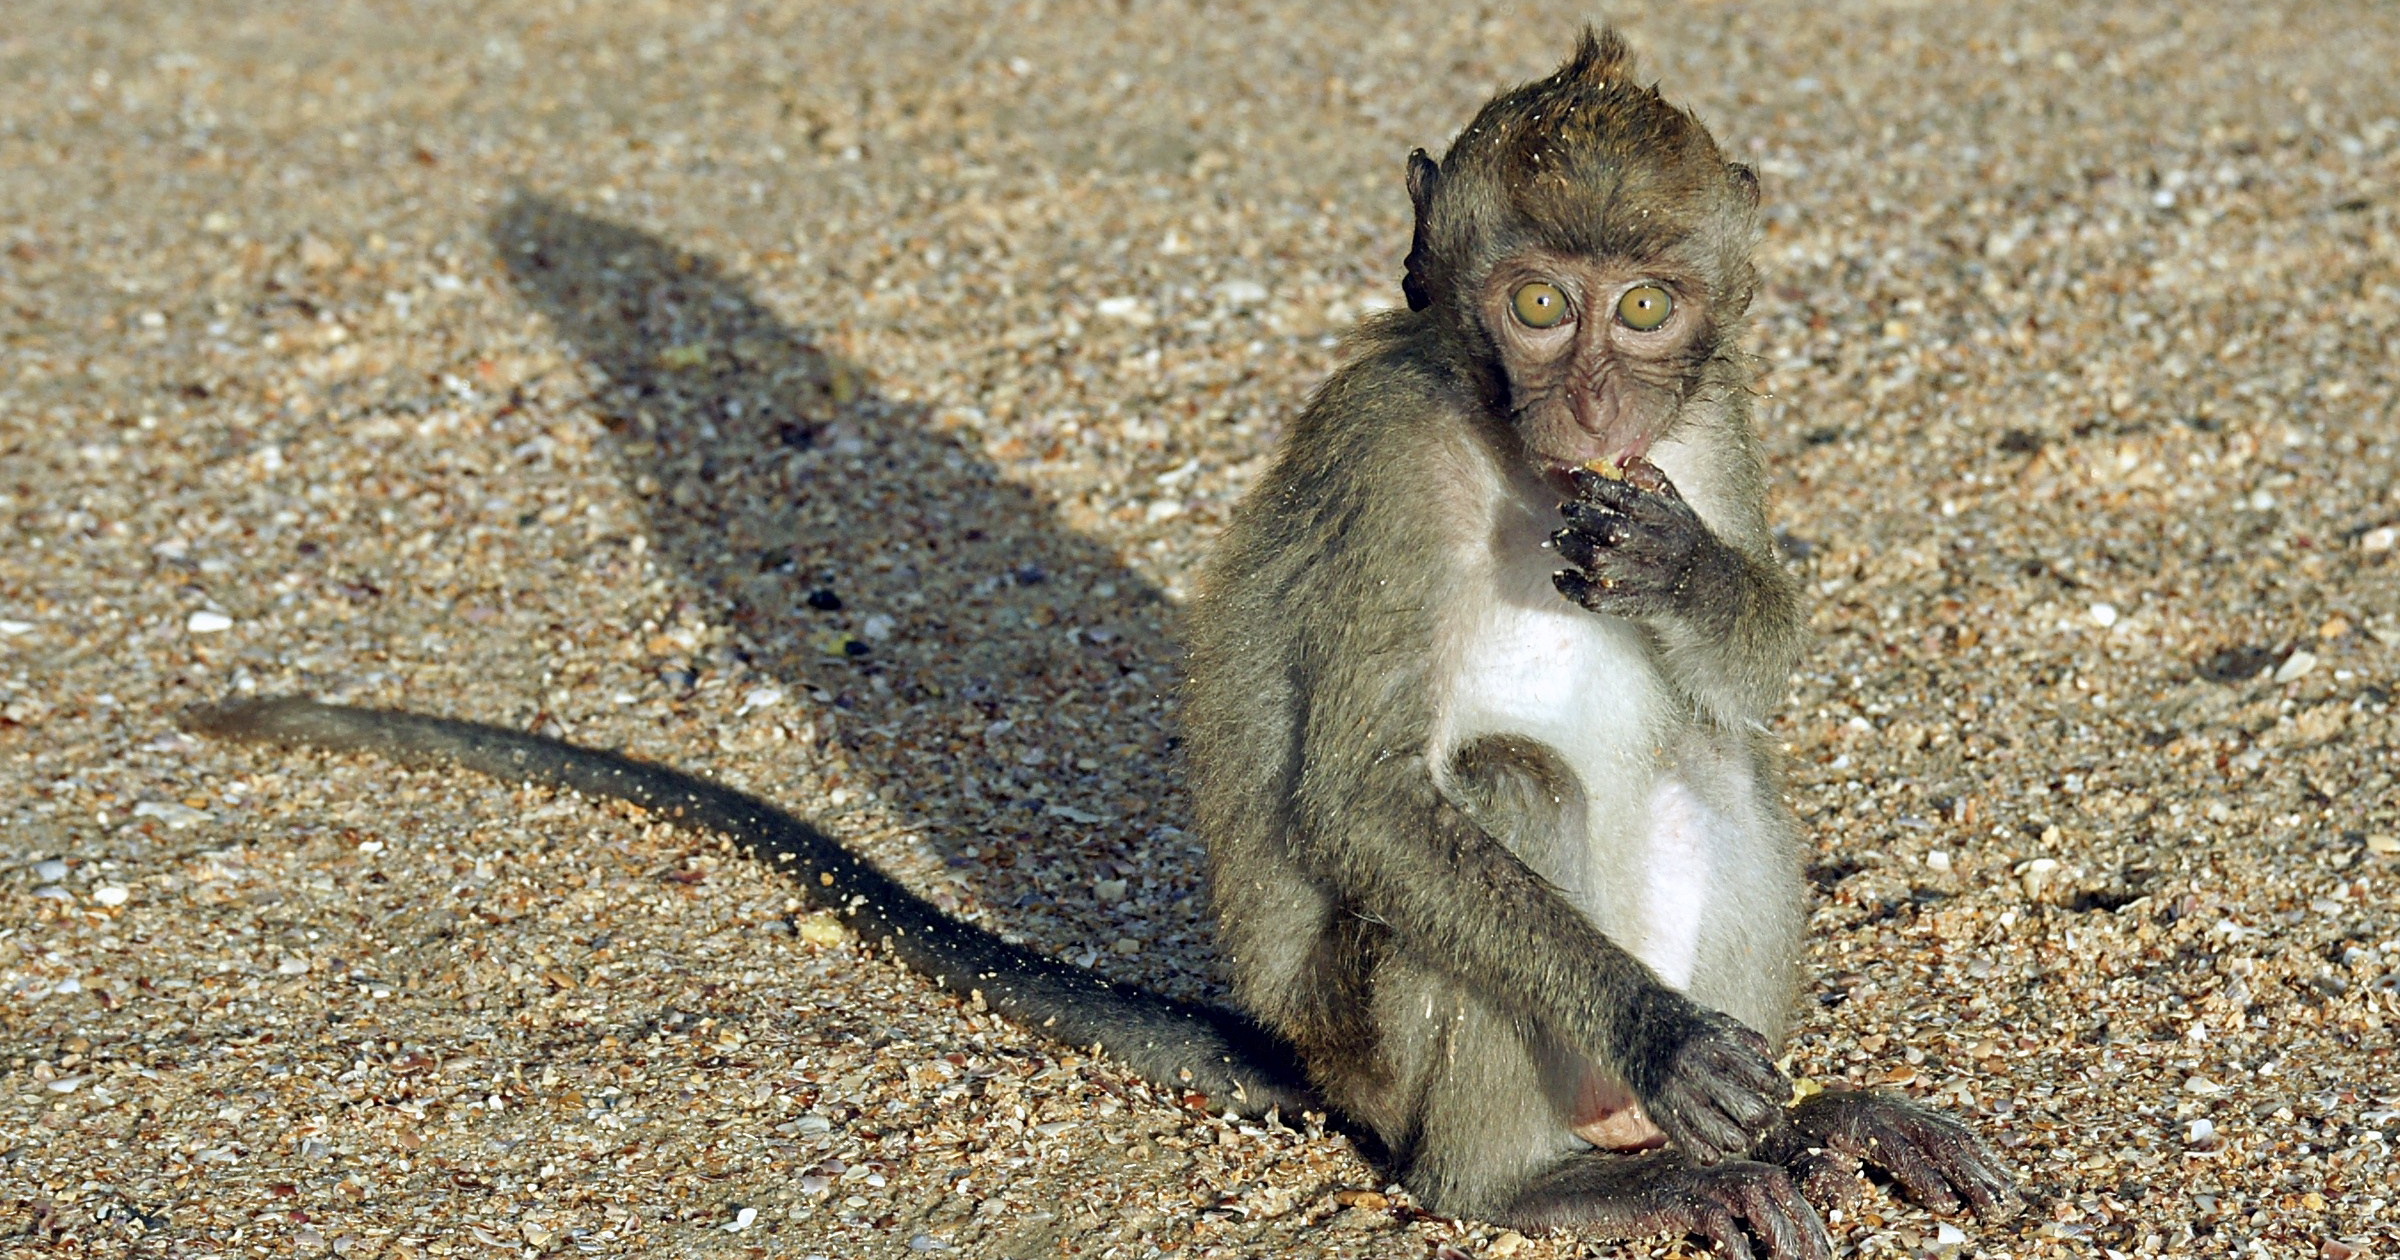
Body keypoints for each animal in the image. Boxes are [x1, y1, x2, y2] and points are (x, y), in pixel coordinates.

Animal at [182, 29, 2013, 1260]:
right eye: (1538, 305)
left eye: (1642, 307)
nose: (1592, 405)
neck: (1510, 451)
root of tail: (1317, 1065)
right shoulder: (1391, 464)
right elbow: (1359, 796)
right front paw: (1662, 1033)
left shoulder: (1712, 419)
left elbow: (1761, 662)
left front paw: (1673, 562)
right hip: (1379, 1053)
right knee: (1499, 788)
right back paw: (1554, 1180)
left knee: (1721, 755)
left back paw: (1819, 1113)